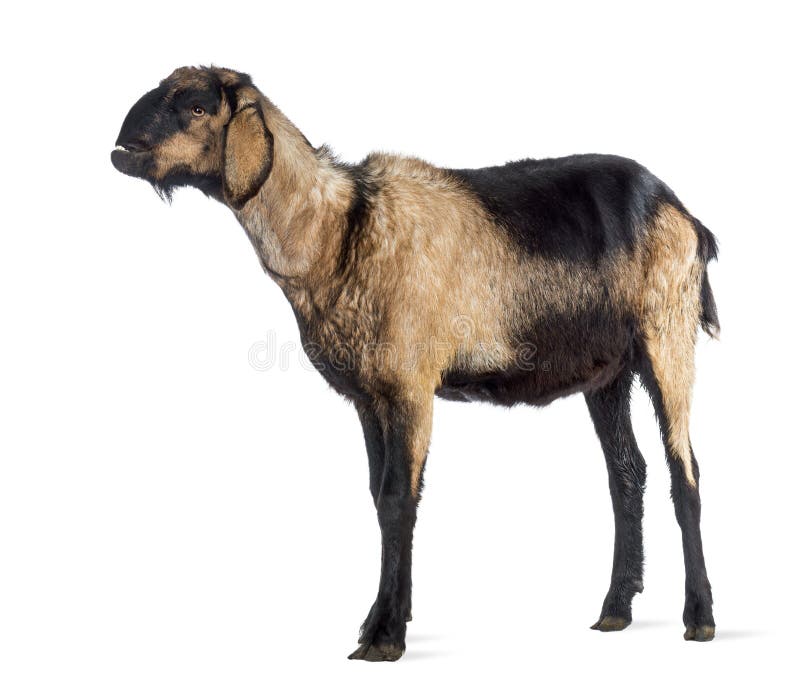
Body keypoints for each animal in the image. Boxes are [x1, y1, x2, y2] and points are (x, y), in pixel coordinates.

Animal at [111, 65, 719, 660]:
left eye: (196, 107)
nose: (122, 148)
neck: (339, 230)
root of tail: (686, 216)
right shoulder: (369, 397)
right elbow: (378, 495)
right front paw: (383, 620)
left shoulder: (411, 384)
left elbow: (399, 499)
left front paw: (384, 636)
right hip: (608, 371)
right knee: (628, 474)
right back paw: (616, 609)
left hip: (667, 333)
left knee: (684, 473)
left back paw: (700, 618)